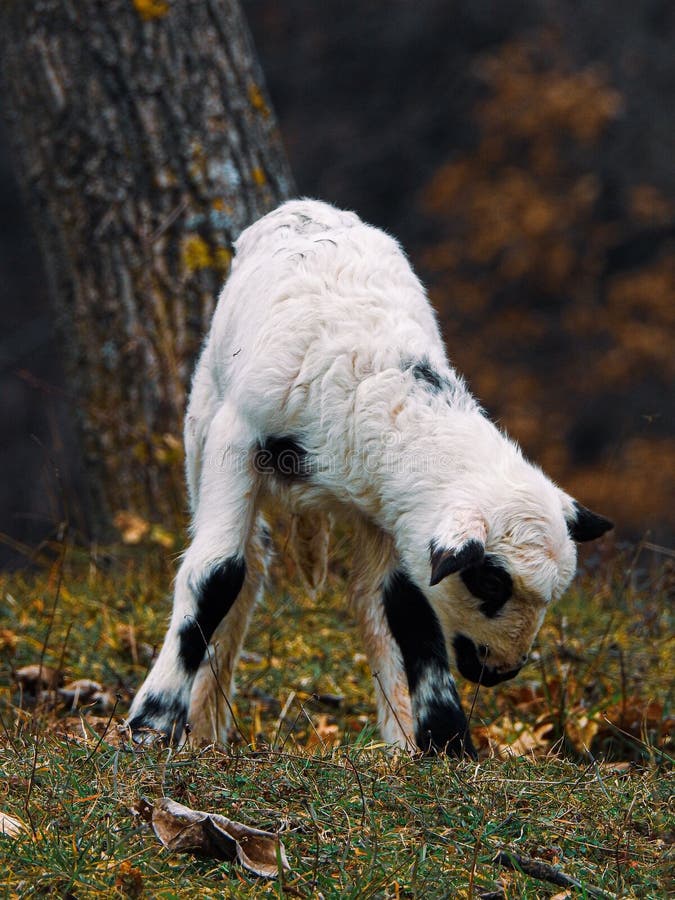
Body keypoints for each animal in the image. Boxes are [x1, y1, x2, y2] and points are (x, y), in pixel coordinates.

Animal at [125, 199, 612, 756]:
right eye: (490, 581)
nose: (502, 671)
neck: (379, 383)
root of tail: (305, 205)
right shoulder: (237, 440)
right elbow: (216, 576)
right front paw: (151, 723)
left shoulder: (395, 508)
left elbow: (406, 605)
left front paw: (445, 741)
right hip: (202, 426)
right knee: (248, 569)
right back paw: (203, 729)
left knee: (365, 601)